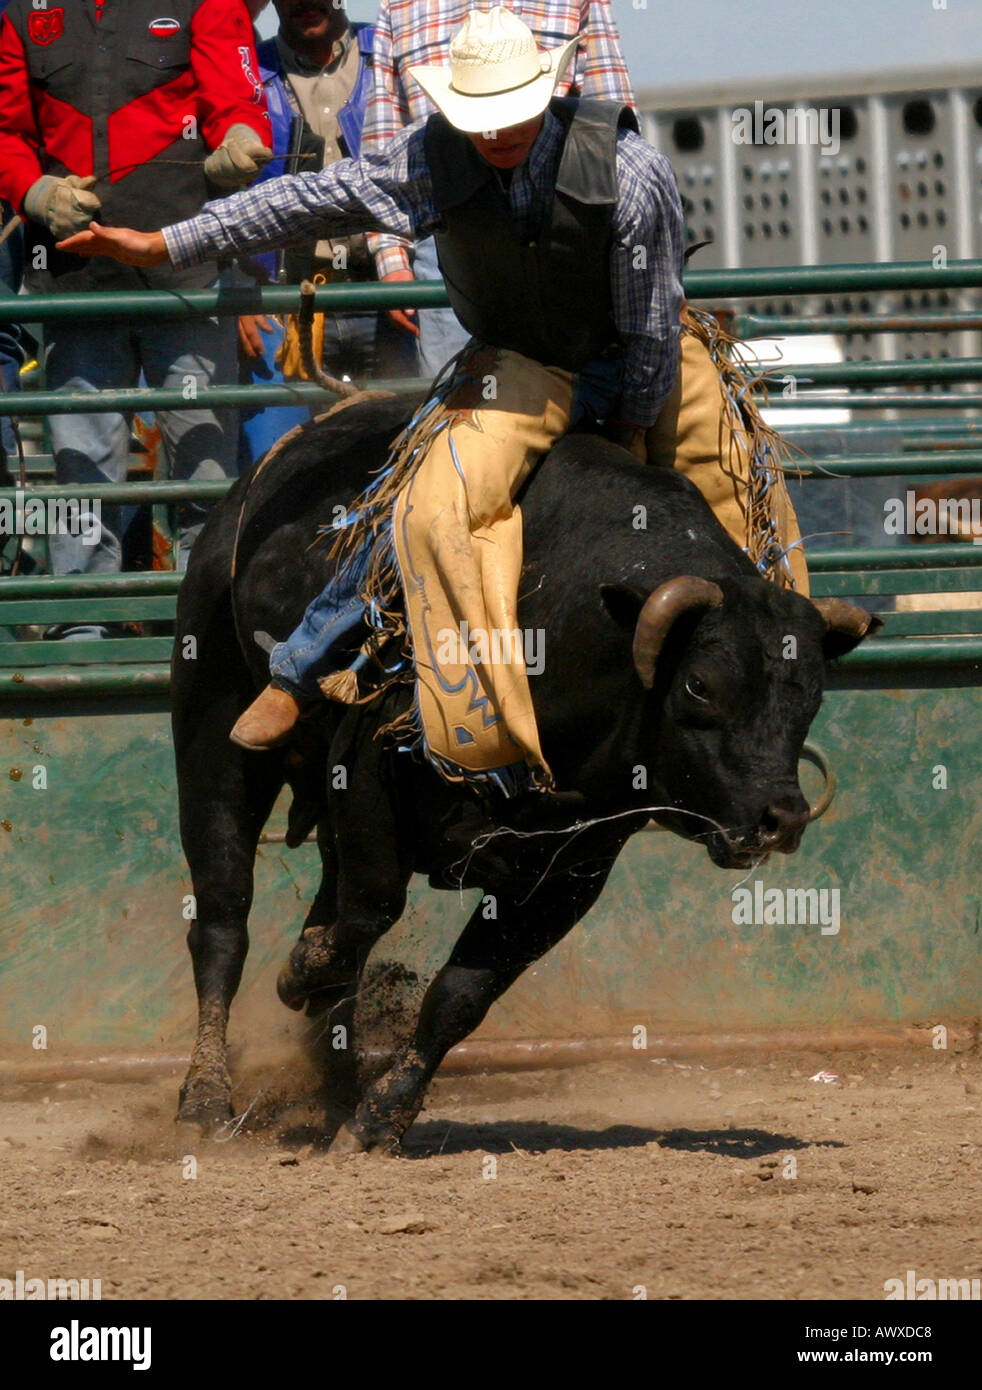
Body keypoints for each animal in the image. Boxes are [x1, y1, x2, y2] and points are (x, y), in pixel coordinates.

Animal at [172, 394, 880, 1153]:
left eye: (810, 694)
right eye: (699, 685)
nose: (781, 818)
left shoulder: (573, 869)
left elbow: (459, 996)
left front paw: (379, 1117)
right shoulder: (366, 772)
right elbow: (369, 913)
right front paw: (300, 972)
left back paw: (335, 1094)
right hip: (214, 731)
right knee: (223, 921)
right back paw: (205, 1100)